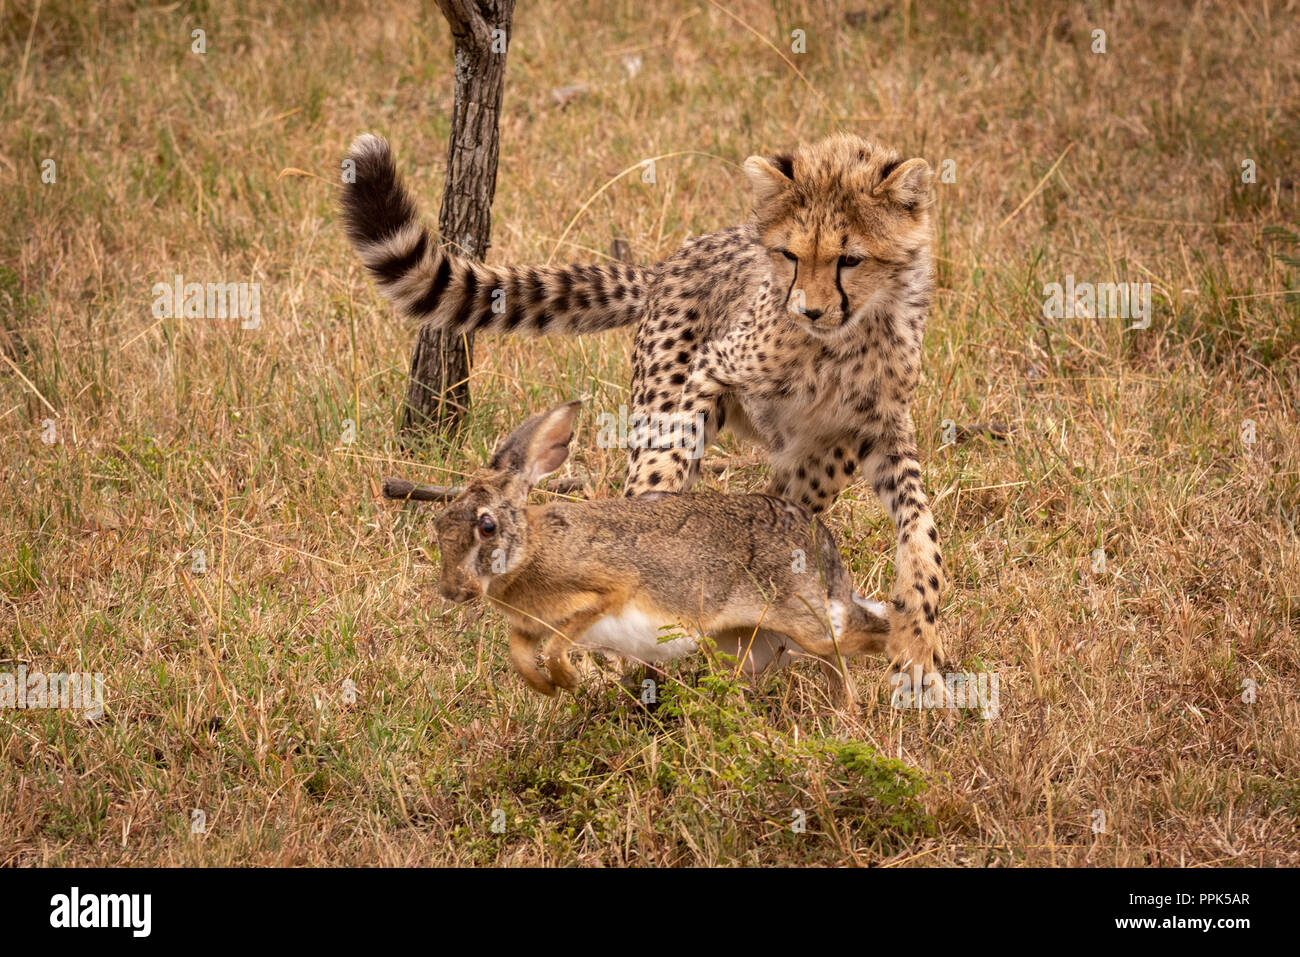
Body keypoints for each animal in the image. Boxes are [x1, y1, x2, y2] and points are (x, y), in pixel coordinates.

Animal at [430, 400, 895, 708]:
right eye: (439, 524)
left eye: (487, 526)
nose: (452, 591)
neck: (531, 548)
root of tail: (821, 543)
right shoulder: (527, 628)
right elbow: (521, 654)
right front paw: (546, 686)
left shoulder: (607, 591)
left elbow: (560, 643)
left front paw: (568, 679)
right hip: (749, 643)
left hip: (805, 618)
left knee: (867, 634)